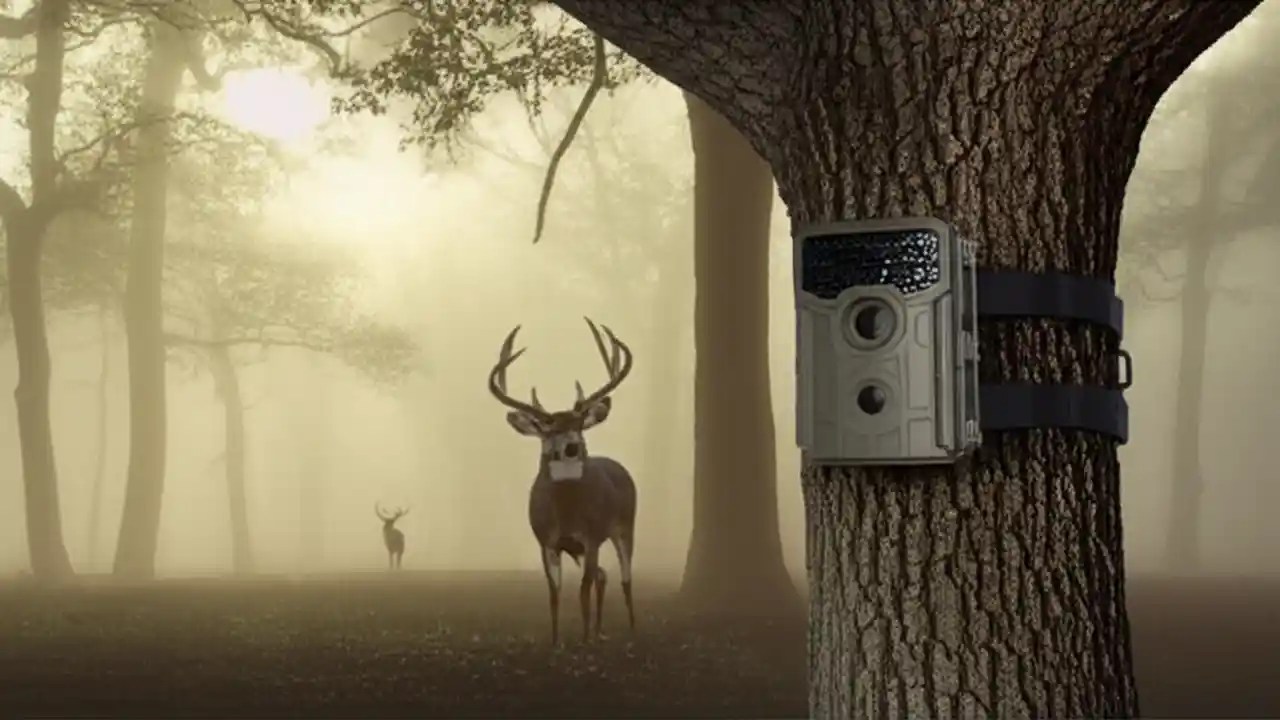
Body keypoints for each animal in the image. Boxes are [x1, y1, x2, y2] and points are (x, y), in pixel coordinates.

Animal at [488, 317, 637, 645]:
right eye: (548, 428)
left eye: (579, 424)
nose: (571, 447)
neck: (567, 515)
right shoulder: (546, 540)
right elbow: (554, 594)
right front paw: (557, 642)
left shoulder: (592, 536)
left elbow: (582, 589)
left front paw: (584, 640)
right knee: (604, 575)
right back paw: (600, 629)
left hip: (626, 525)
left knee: (624, 576)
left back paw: (631, 628)